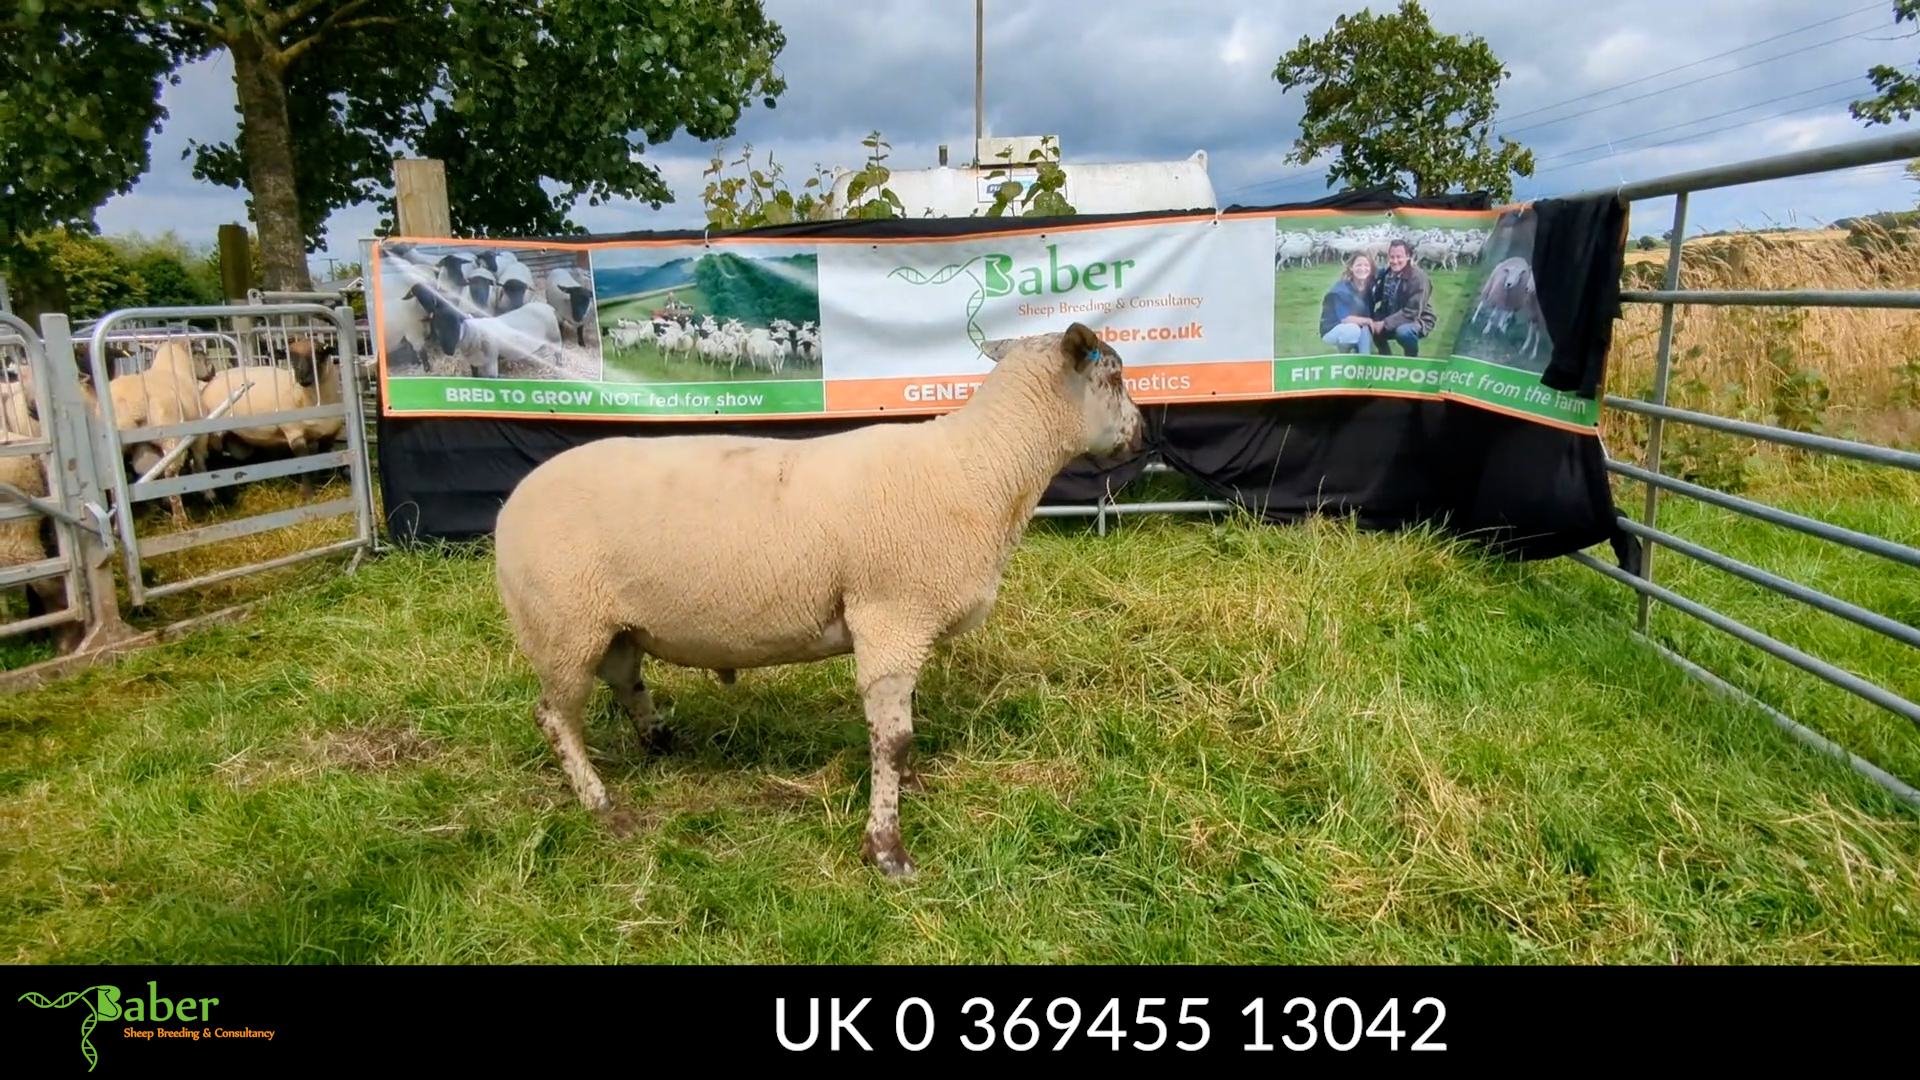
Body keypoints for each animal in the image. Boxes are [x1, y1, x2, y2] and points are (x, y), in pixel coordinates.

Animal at [492, 321, 1145, 877]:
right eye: (1114, 375)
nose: (1143, 432)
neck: (984, 466)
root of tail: (510, 506)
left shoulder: (903, 626)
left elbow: (901, 726)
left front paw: (910, 788)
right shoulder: (891, 613)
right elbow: (893, 738)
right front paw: (887, 851)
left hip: (612, 622)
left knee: (626, 682)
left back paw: (662, 742)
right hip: (560, 623)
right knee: (555, 717)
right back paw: (604, 806)